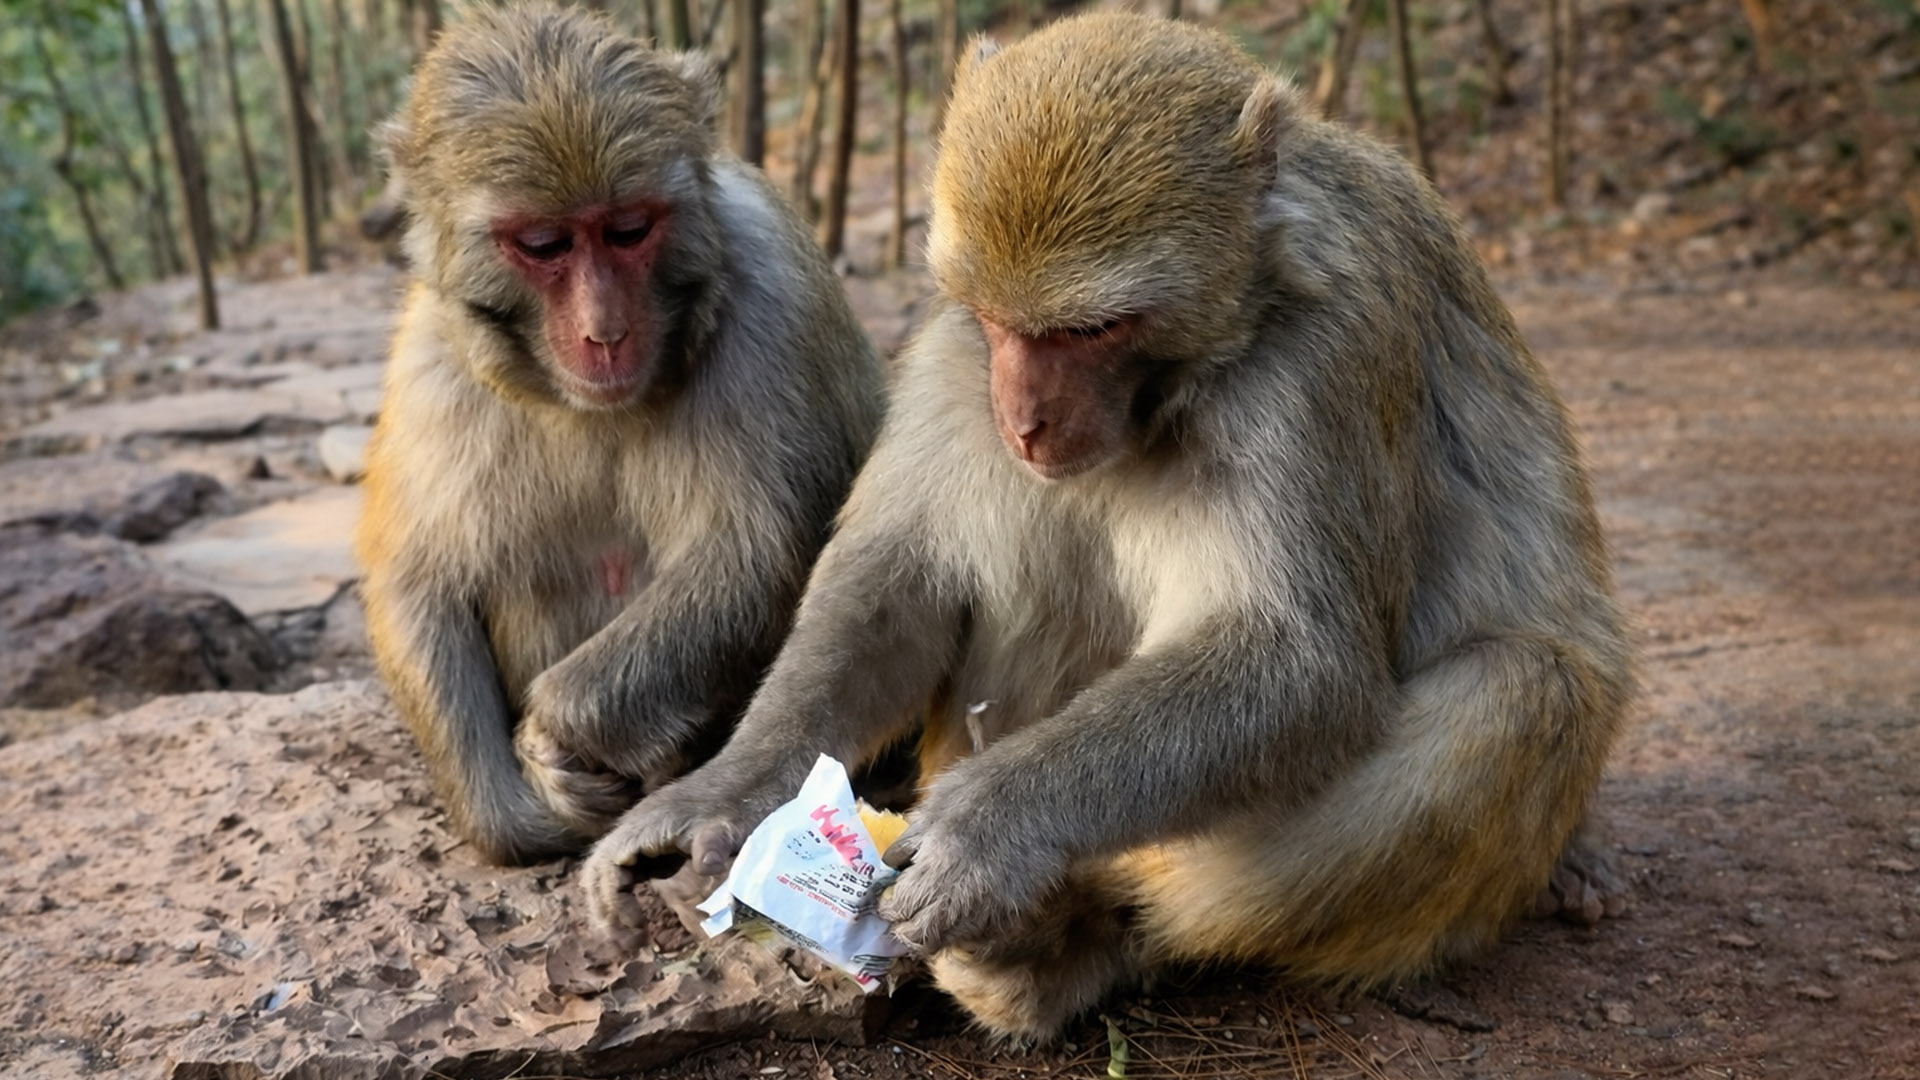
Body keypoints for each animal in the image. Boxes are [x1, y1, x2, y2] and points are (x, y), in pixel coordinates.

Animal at [355, 4, 884, 867]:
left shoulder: (770, 292)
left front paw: (549, 736)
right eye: (543, 244)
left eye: (630, 228)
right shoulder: (432, 357)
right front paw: (515, 811)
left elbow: (756, 553)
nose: (605, 331)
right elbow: (418, 580)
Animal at [584, 11, 1633, 1039]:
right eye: (1000, 320)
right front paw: (717, 799)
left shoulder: (1324, 363)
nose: (1024, 419)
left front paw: (989, 828)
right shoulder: (955, 351)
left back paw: (1071, 927)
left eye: (1089, 331)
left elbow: (1302, 658)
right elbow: (901, 580)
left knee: (1522, 690)